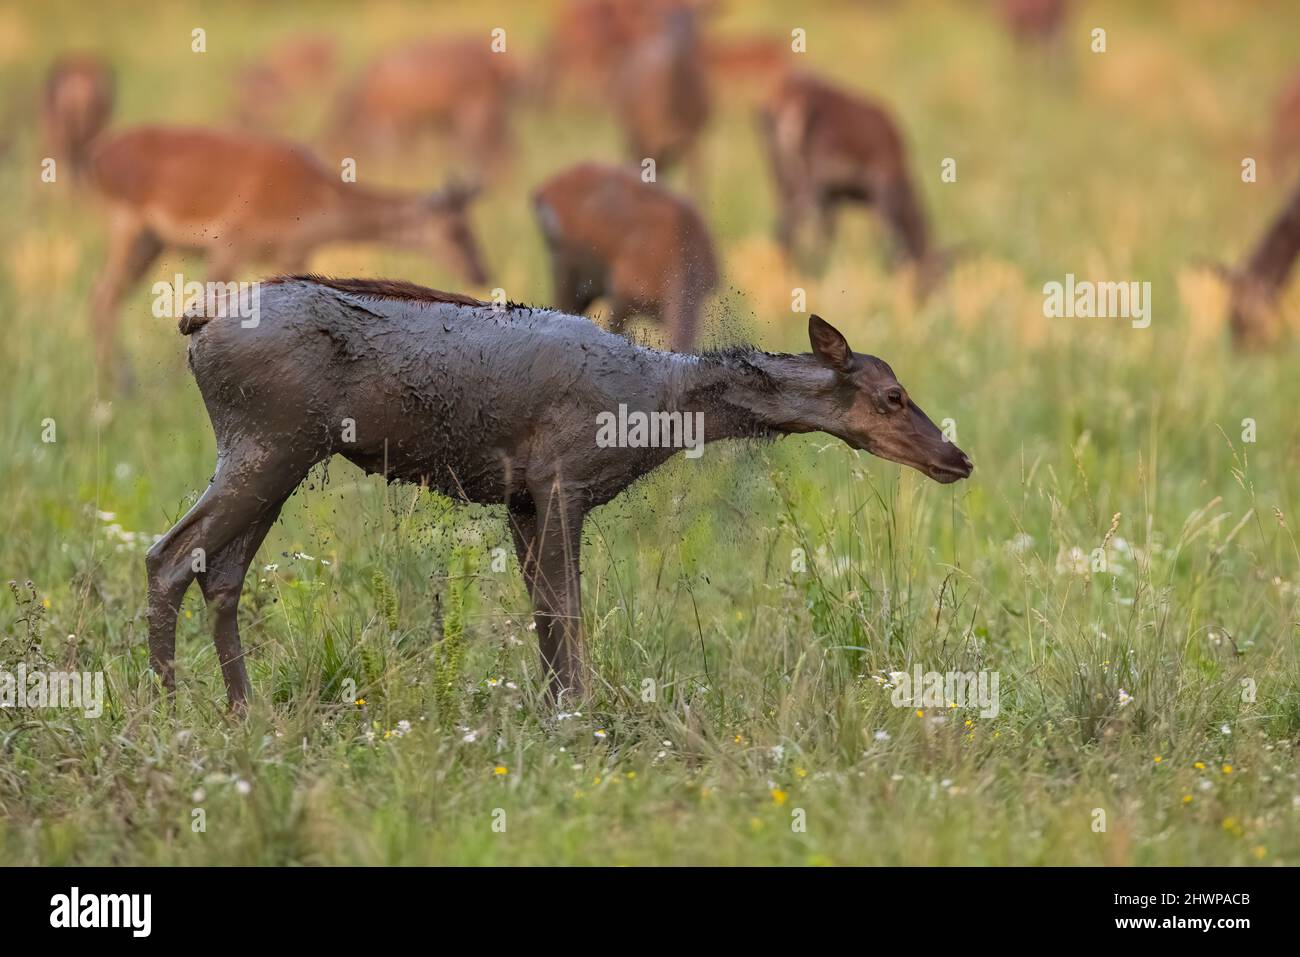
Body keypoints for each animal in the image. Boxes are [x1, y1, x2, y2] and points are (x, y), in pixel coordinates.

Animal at [88, 125, 487, 388]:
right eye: (456, 230)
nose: (481, 271)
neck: (314, 202)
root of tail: (99, 158)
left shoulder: (297, 253)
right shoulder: (231, 241)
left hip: (150, 242)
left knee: (108, 296)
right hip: (125, 223)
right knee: (102, 296)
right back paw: (118, 385)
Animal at [149, 274, 973, 711]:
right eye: (893, 395)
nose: (957, 457)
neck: (658, 406)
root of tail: (201, 318)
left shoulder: (520, 499)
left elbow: (545, 615)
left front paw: (557, 709)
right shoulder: (561, 480)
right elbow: (569, 610)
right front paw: (582, 714)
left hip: (278, 453)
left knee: (220, 572)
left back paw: (243, 709)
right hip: (267, 443)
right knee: (168, 554)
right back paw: (169, 706)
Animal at [758, 71, 936, 283]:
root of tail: (786, 101)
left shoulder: (835, 197)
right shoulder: (881, 183)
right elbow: (885, 234)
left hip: (780, 174)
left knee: (785, 226)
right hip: (812, 176)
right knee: (802, 222)